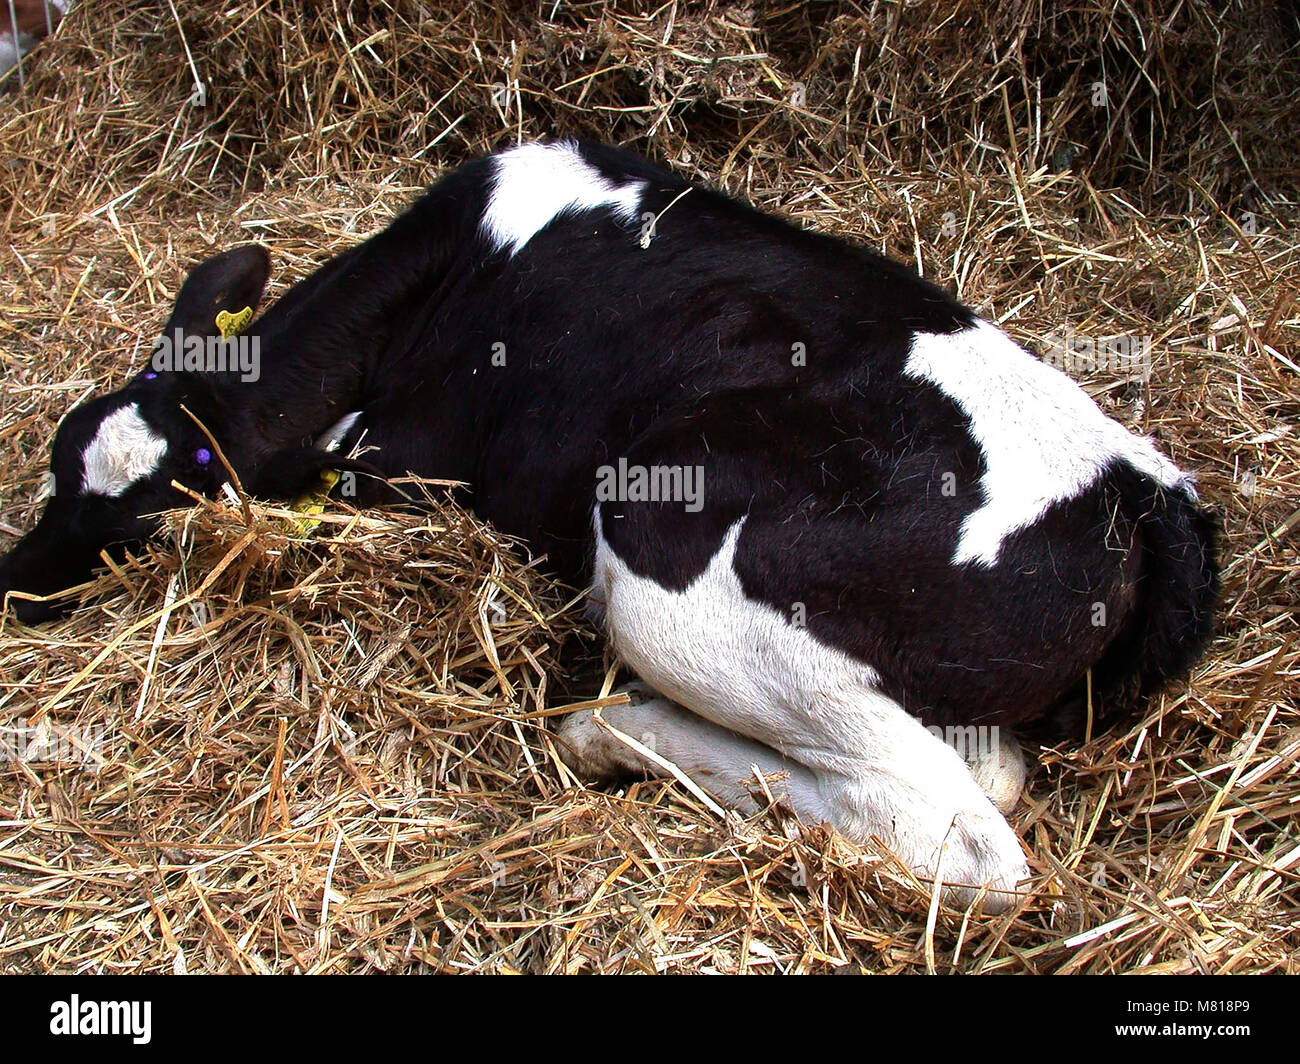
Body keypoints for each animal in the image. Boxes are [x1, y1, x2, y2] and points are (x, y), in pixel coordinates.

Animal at [0, 140, 1219, 910]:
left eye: (150, 525)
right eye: (59, 461)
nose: (14, 582)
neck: (452, 273)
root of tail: (1140, 485)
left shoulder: (412, 456)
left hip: (672, 558)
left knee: (957, 836)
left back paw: (609, 732)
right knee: (985, 769)